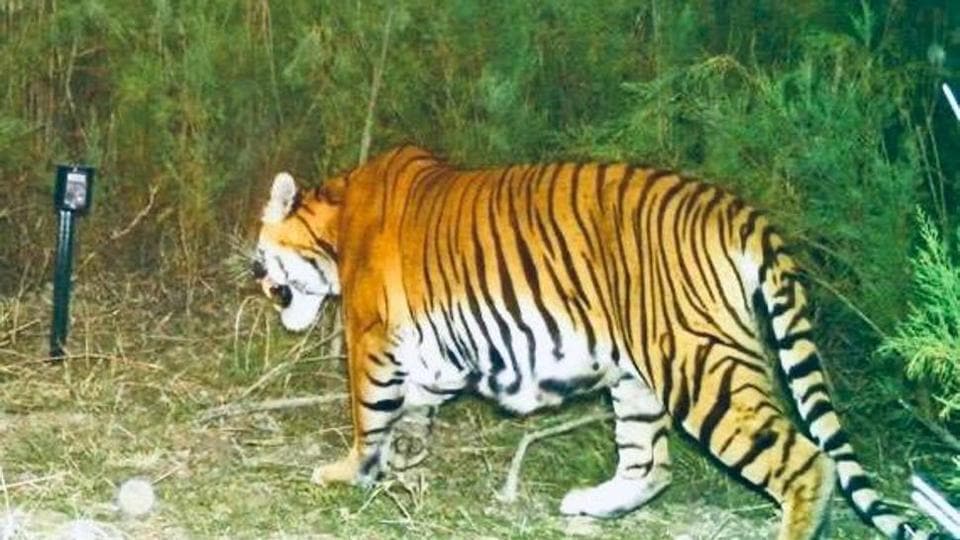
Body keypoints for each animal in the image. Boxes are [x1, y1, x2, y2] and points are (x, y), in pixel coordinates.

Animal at [252, 145, 937, 540]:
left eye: (263, 254)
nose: (257, 278)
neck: (334, 221)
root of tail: (737, 211)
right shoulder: (434, 353)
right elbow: (414, 406)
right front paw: (404, 458)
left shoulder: (371, 338)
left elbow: (369, 412)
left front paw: (350, 470)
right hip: (641, 373)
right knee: (650, 463)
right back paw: (593, 503)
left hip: (698, 362)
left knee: (806, 460)